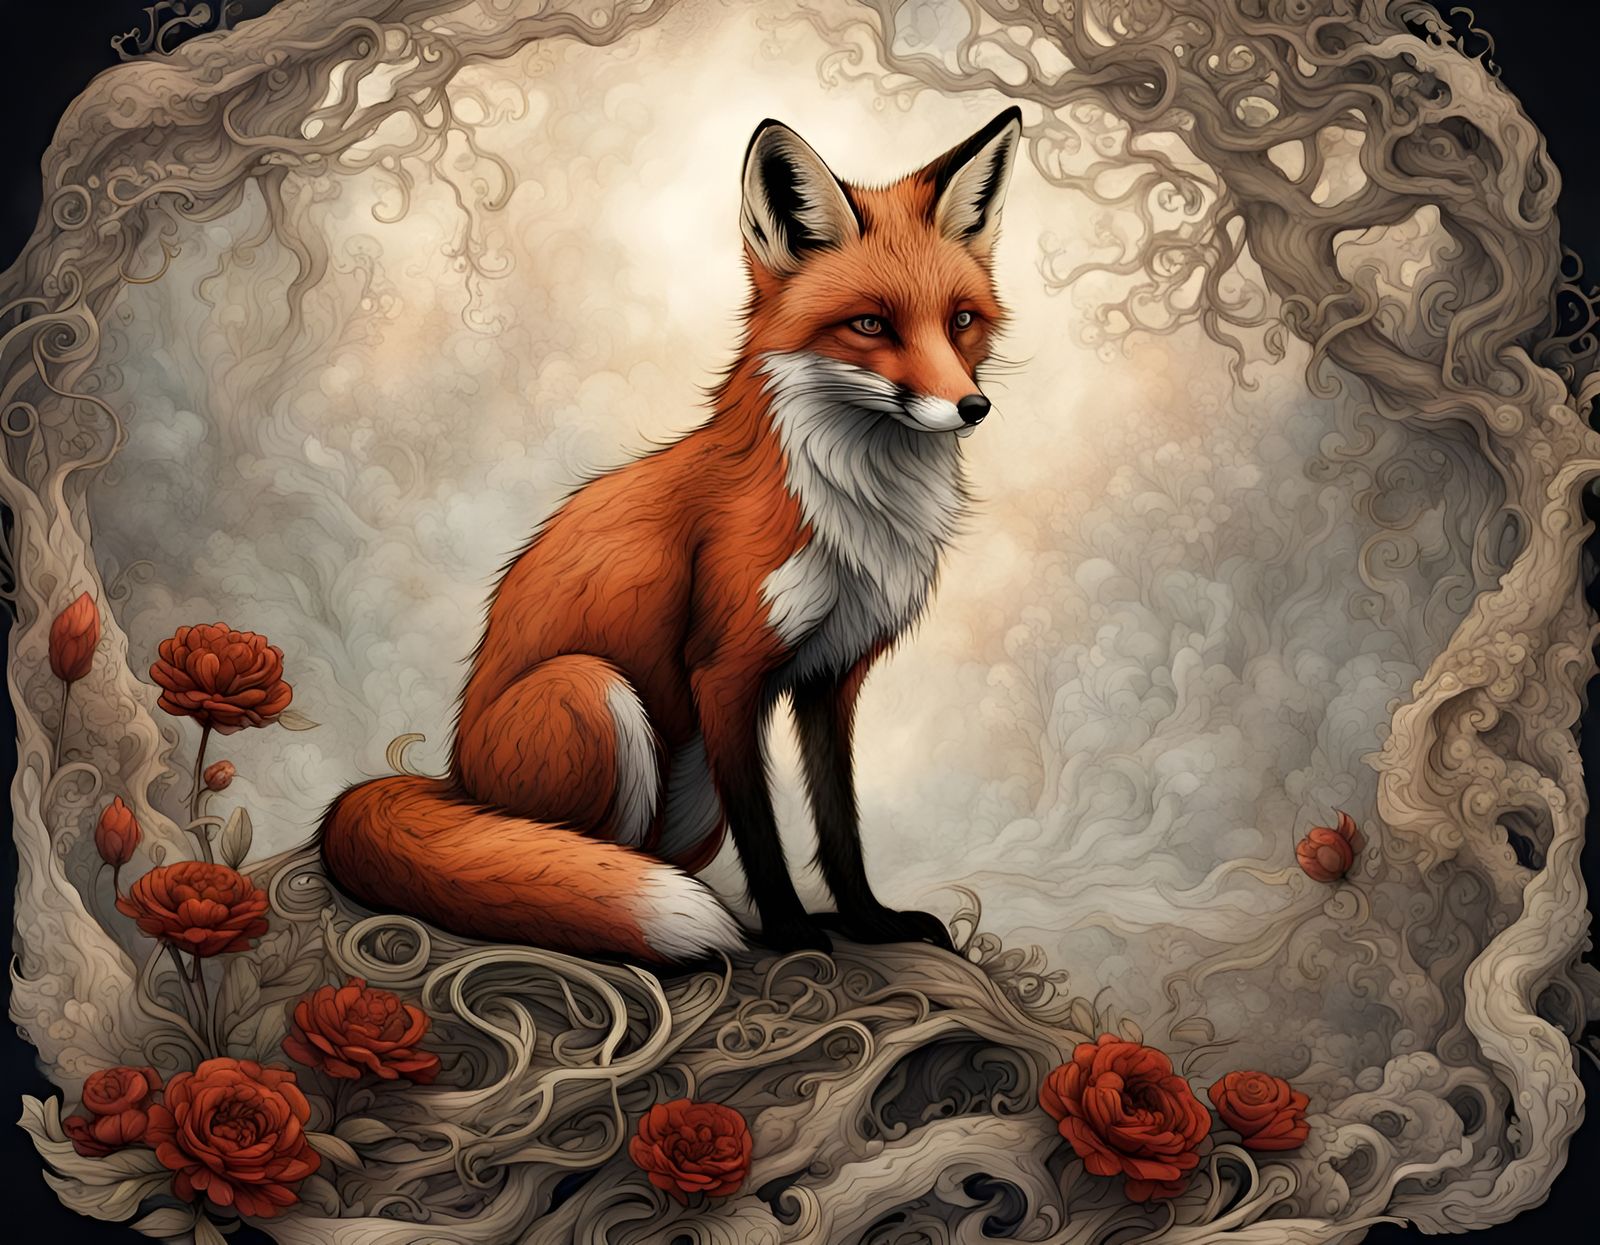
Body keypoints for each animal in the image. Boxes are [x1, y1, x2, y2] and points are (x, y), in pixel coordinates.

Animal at [320, 107, 1023, 964]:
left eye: (960, 322)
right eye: (869, 324)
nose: (972, 406)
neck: (857, 510)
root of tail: (453, 782)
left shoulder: (833, 675)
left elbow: (840, 823)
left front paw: (865, 921)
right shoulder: (724, 669)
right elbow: (764, 831)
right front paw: (792, 933)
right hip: (594, 692)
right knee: (567, 860)